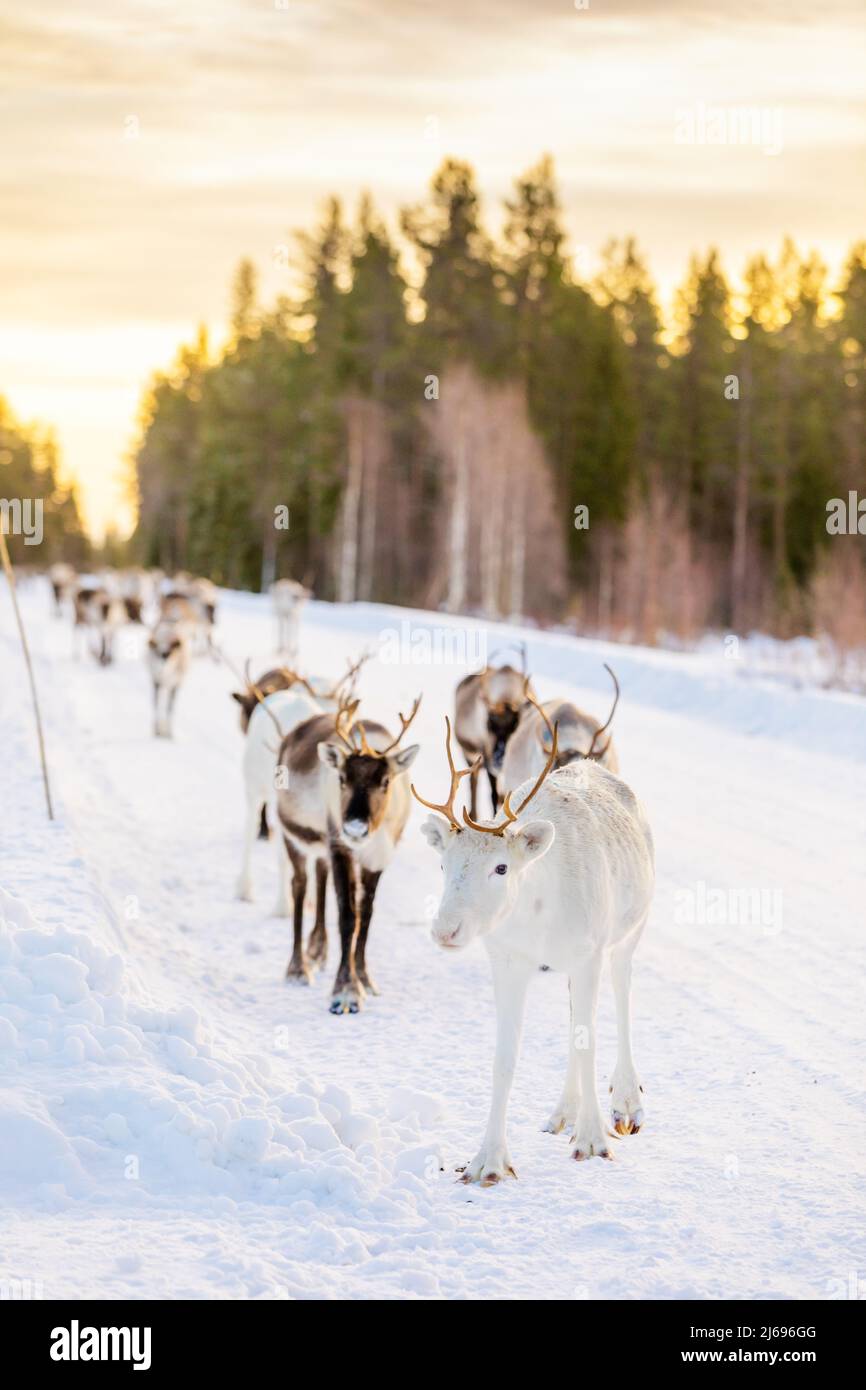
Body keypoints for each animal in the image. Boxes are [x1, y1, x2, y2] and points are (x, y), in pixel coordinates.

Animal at [273, 694, 421, 1011]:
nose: (354, 828)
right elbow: (347, 916)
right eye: (341, 778)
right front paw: (346, 991)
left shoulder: (377, 858)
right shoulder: (339, 846)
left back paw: (317, 951)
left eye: (386, 781)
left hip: (323, 847)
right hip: (294, 837)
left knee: (320, 876)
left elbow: (366, 914)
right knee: (300, 885)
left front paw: (363, 978)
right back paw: (297, 968)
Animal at [413, 692, 654, 1187]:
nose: (445, 929)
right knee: (576, 1018)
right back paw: (564, 1112)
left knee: (621, 999)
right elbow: (505, 1058)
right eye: (444, 863)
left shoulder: (589, 954)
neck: (538, 916)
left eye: (501, 867)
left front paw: (593, 1140)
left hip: (628, 932)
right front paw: (488, 1160)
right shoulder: (510, 961)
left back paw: (625, 1103)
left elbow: (589, 1042)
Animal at [454, 645, 528, 819]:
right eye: (488, 725)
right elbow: (493, 795)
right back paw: (473, 814)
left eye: (516, 725)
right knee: (473, 782)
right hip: (470, 755)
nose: (499, 759)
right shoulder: (485, 757)